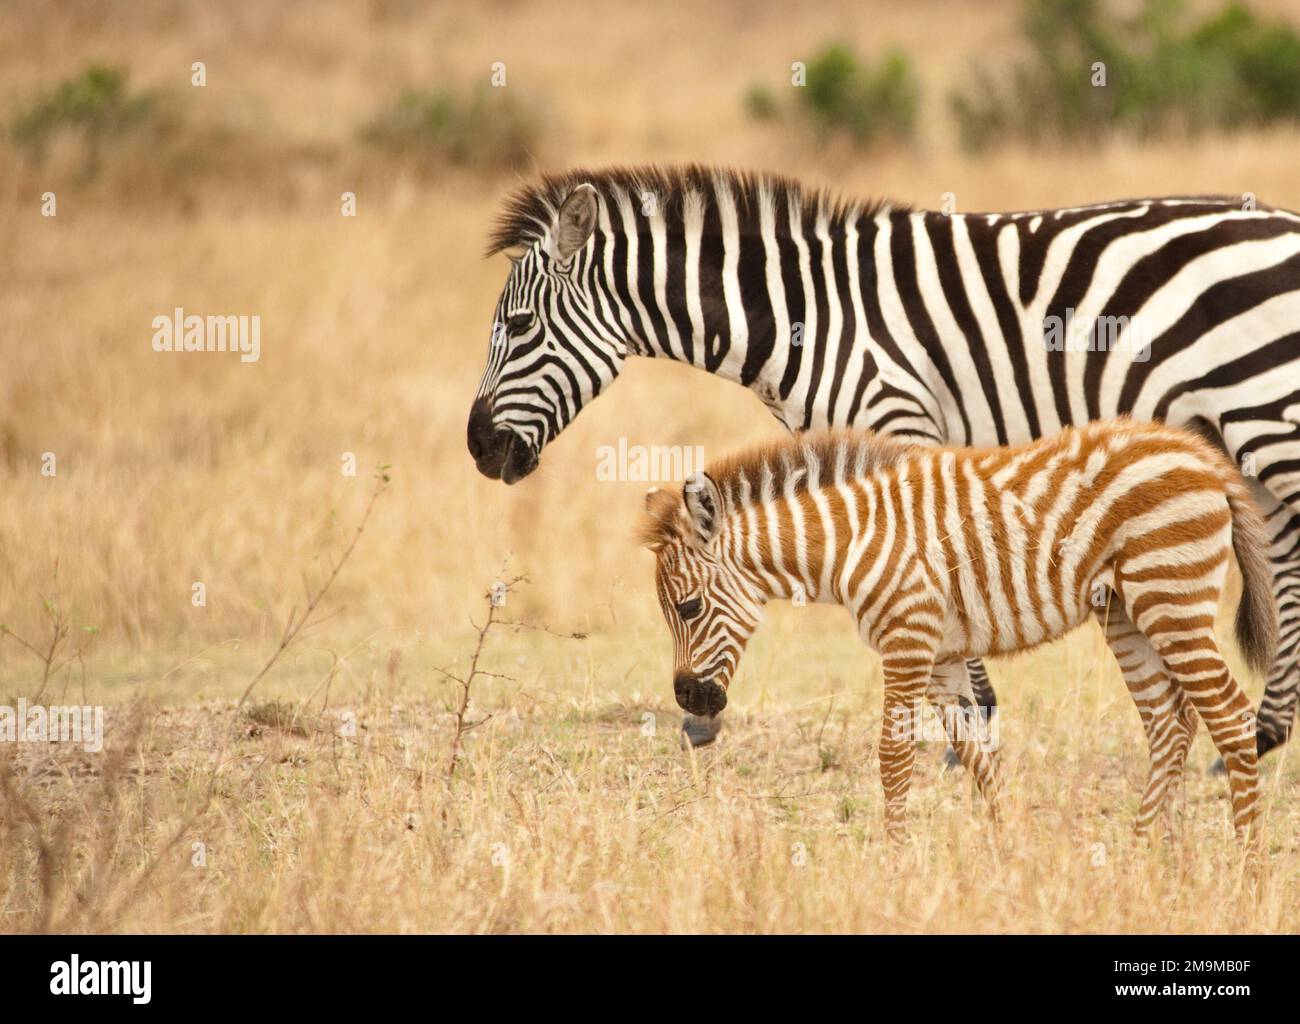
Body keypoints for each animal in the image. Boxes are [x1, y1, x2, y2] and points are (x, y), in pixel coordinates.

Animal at [467, 165, 1300, 760]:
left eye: (519, 325)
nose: (477, 447)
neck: (804, 322)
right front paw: (966, 724)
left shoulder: (898, 425)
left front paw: (966, 725)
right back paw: (1267, 733)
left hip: (1267, 408)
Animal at [639, 422, 1275, 842]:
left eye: (689, 608)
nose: (688, 699)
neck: (852, 542)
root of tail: (1202, 455)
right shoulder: (941, 657)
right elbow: (976, 752)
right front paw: (1007, 851)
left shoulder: (907, 638)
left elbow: (894, 755)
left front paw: (894, 859)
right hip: (1126, 611)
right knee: (1170, 723)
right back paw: (1143, 850)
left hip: (1171, 598)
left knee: (1229, 718)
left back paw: (1245, 861)